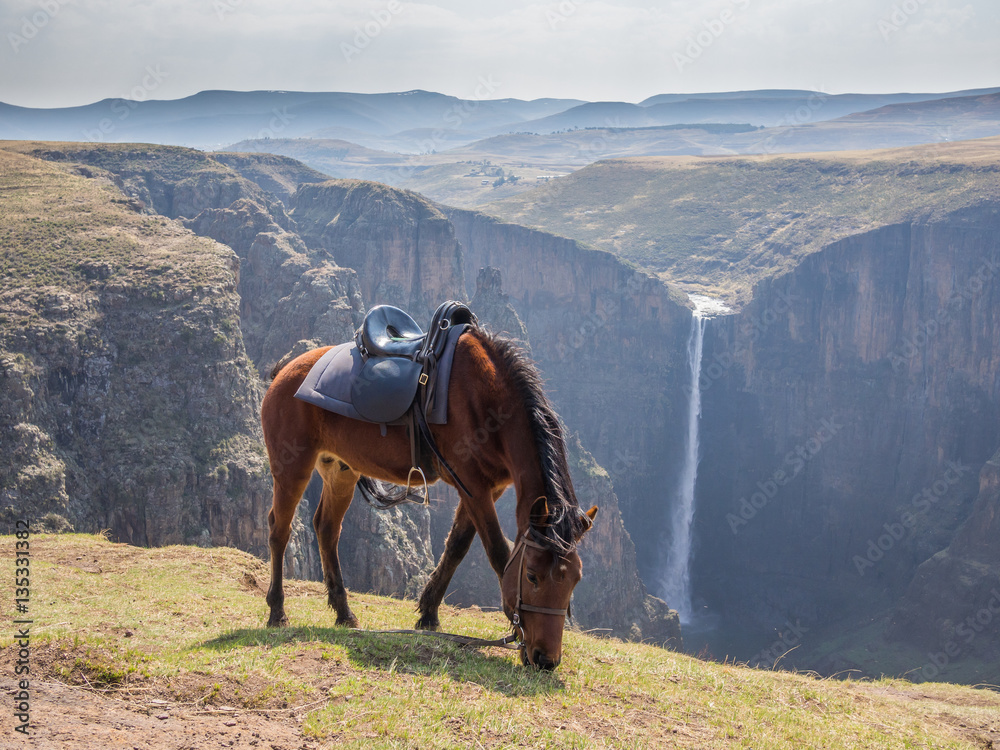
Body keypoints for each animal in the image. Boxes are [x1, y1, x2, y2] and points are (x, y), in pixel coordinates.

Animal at [262, 325, 598, 670]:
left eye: (575, 579)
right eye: (532, 576)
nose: (545, 659)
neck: (487, 400)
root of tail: (285, 371)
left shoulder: (486, 488)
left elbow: (457, 546)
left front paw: (429, 614)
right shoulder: (472, 485)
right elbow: (497, 553)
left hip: (341, 470)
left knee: (327, 528)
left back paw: (344, 613)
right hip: (292, 468)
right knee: (280, 530)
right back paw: (277, 611)